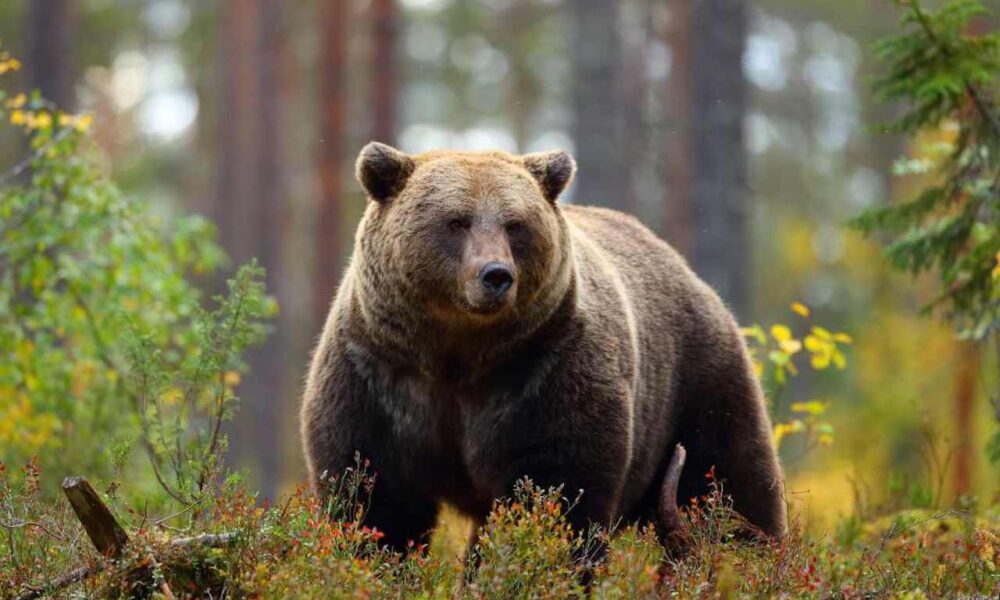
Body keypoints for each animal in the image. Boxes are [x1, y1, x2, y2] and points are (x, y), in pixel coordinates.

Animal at [300, 141, 786, 551]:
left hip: (696, 382)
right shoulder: (377, 375)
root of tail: (685, 268)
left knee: (730, 482)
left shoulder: (545, 372)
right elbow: (374, 499)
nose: (496, 275)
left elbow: (555, 492)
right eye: (456, 221)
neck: (458, 354)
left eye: (515, 224)